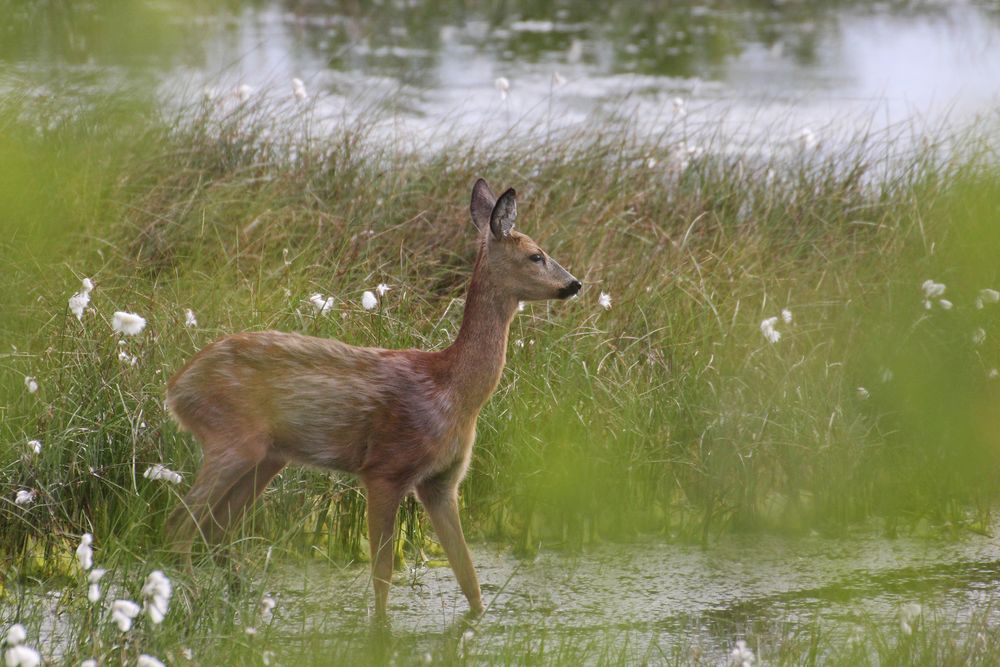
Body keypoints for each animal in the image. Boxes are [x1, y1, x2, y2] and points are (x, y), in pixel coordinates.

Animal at [164, 179, 582, 618]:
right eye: (537, 255)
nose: (575, 284)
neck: (453, 391)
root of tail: (177, 387)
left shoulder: (442, 482)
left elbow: (470, 579)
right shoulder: (385, 467)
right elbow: (382, 573)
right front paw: (380, 627)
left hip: (269, 455)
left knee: (216, 529)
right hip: (231, 436)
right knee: (180, 524)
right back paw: (194, 601)